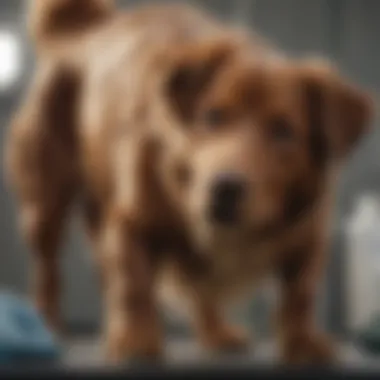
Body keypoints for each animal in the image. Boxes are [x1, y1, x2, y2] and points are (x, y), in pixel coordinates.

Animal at [5, 0, 374, 364]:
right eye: (213, 116)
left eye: (283, 131)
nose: (224, 188)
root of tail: (89, 28)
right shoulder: (131, 224)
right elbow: (134, 287)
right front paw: (136, 339)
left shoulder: (307, 234)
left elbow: (300, 295)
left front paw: (302, 341)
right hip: (45, 206)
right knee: (48, 270)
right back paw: (49, 322)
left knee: (197, 287)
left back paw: (216, 332)